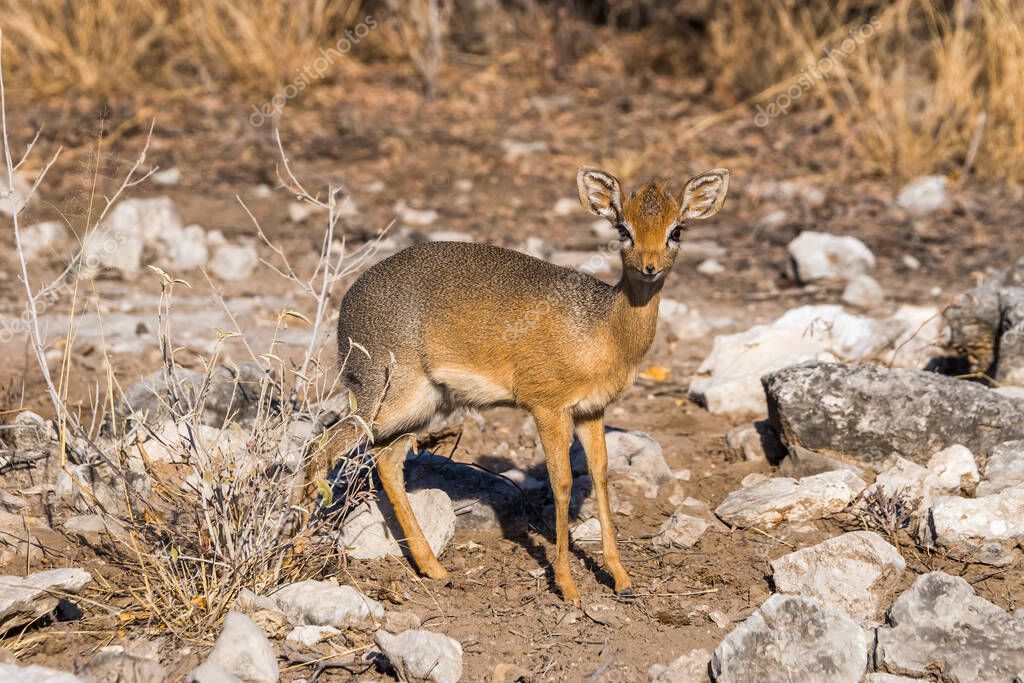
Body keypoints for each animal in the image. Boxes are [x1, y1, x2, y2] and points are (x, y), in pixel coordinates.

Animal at [305, 165, 730, 603]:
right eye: (623, 229)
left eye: (676, 230)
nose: (650, 266)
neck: (602, 329)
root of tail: (347, 305)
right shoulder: (546, 407)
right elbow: (561, 483)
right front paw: (567, 586)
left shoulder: (592, 409)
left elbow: (600, 476)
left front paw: (621, 577)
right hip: (383, 396)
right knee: (320, 447)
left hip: (421, 407)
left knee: (385, 460)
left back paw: (434, 568)